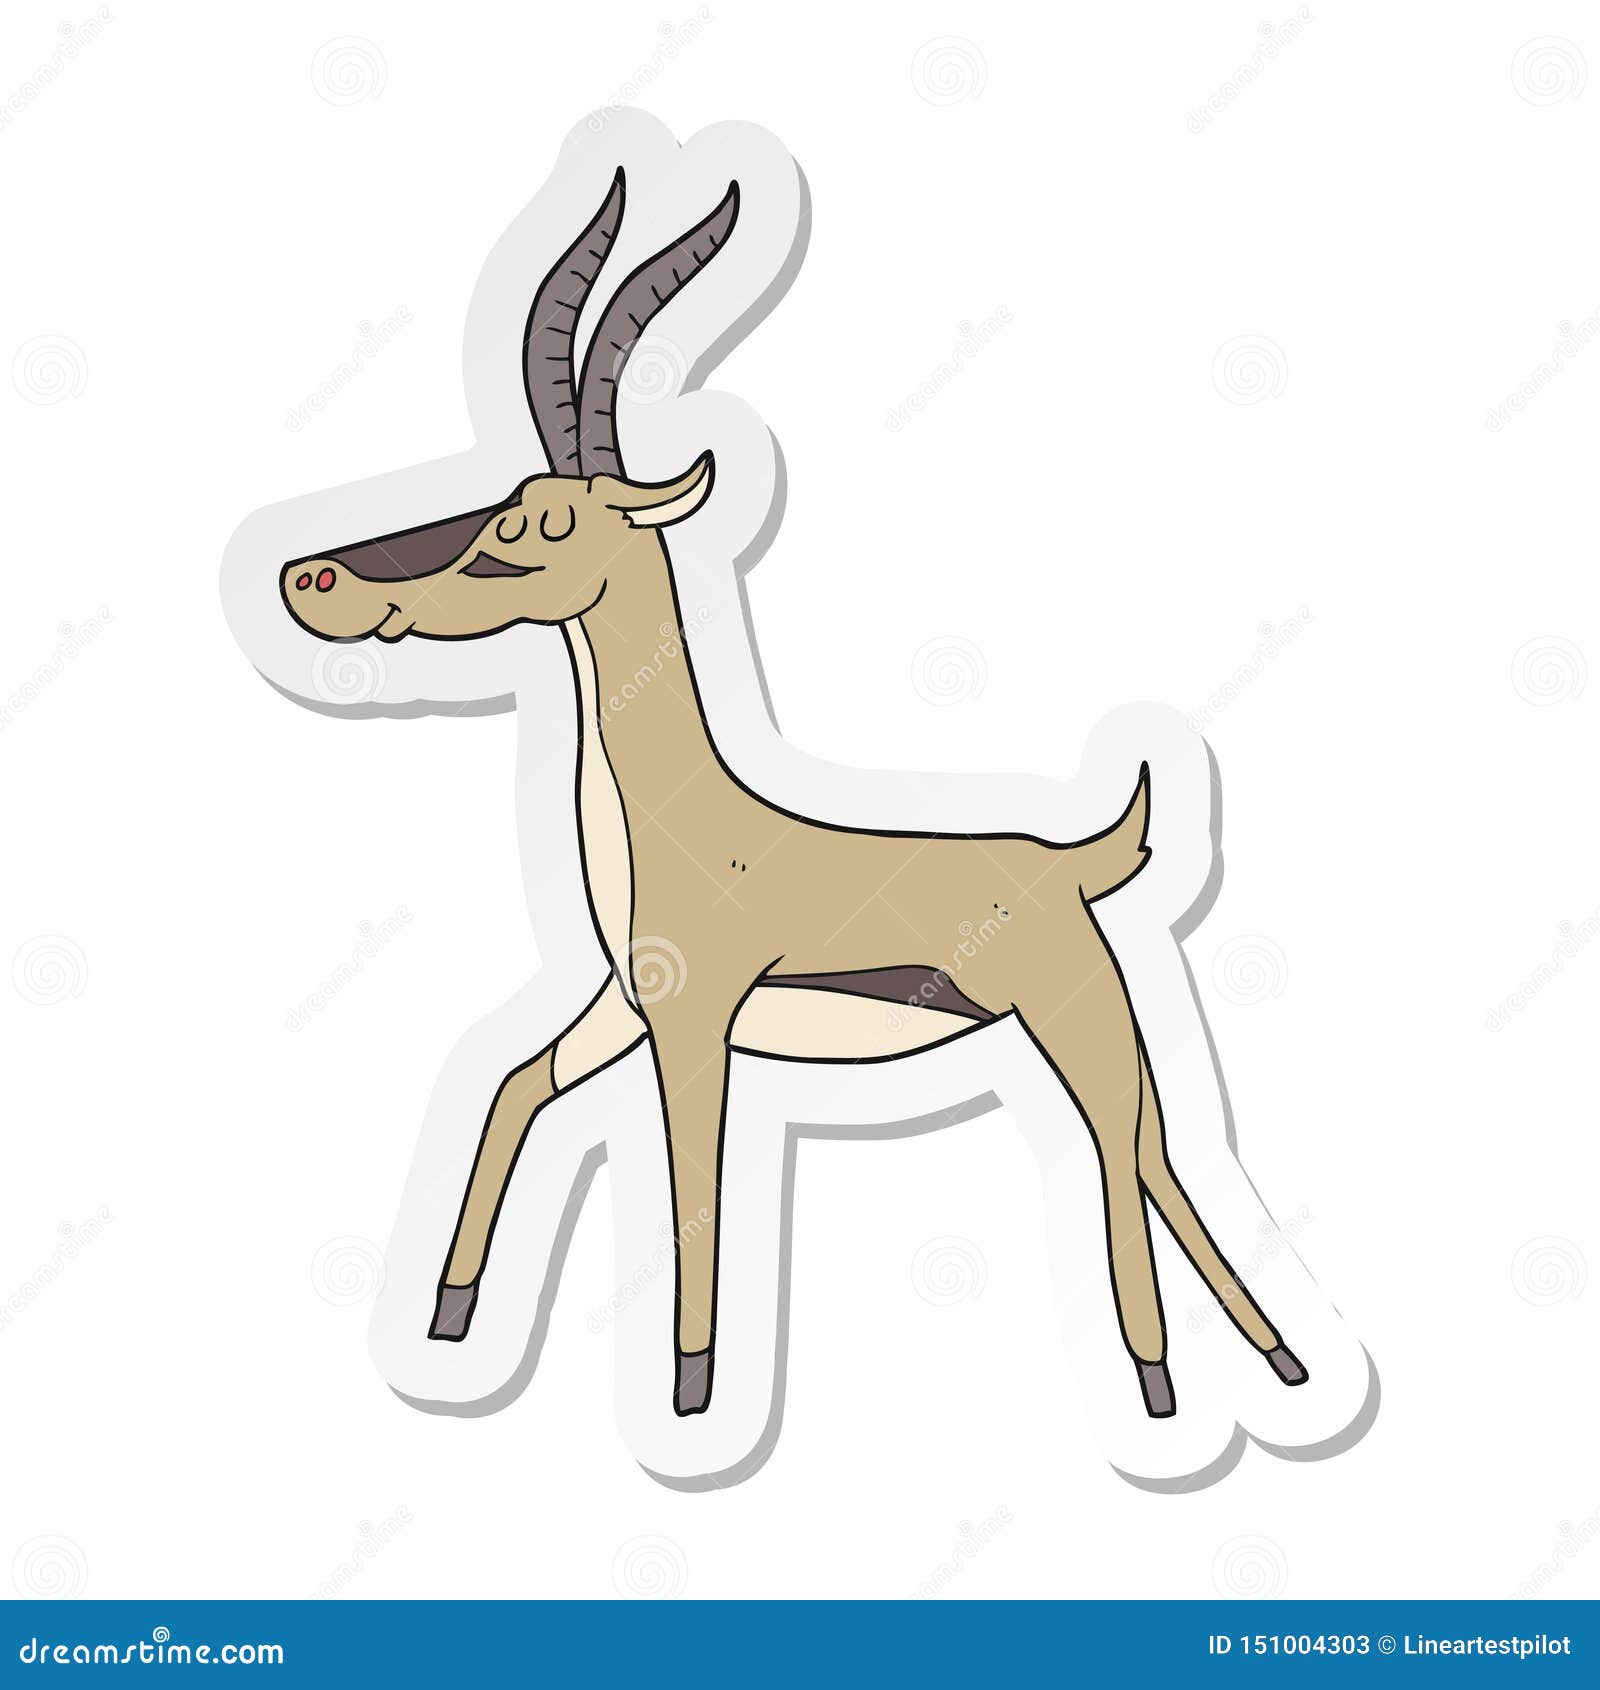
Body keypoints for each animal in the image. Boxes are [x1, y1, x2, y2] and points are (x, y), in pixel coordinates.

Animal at [280, 168, 1308, 1423]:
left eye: (538, 523)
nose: (309, 577)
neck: (681, 825)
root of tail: (1078, 857)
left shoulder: (694, 1030)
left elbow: (694, 1187)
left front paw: (691, 1395)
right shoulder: (621, 1007)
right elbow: (513, 1088)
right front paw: (449, 1316)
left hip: (1075, 1020)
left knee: (1119, 1152)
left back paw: (1162, 1391)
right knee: (1161, 1152)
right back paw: (1279, 1366)